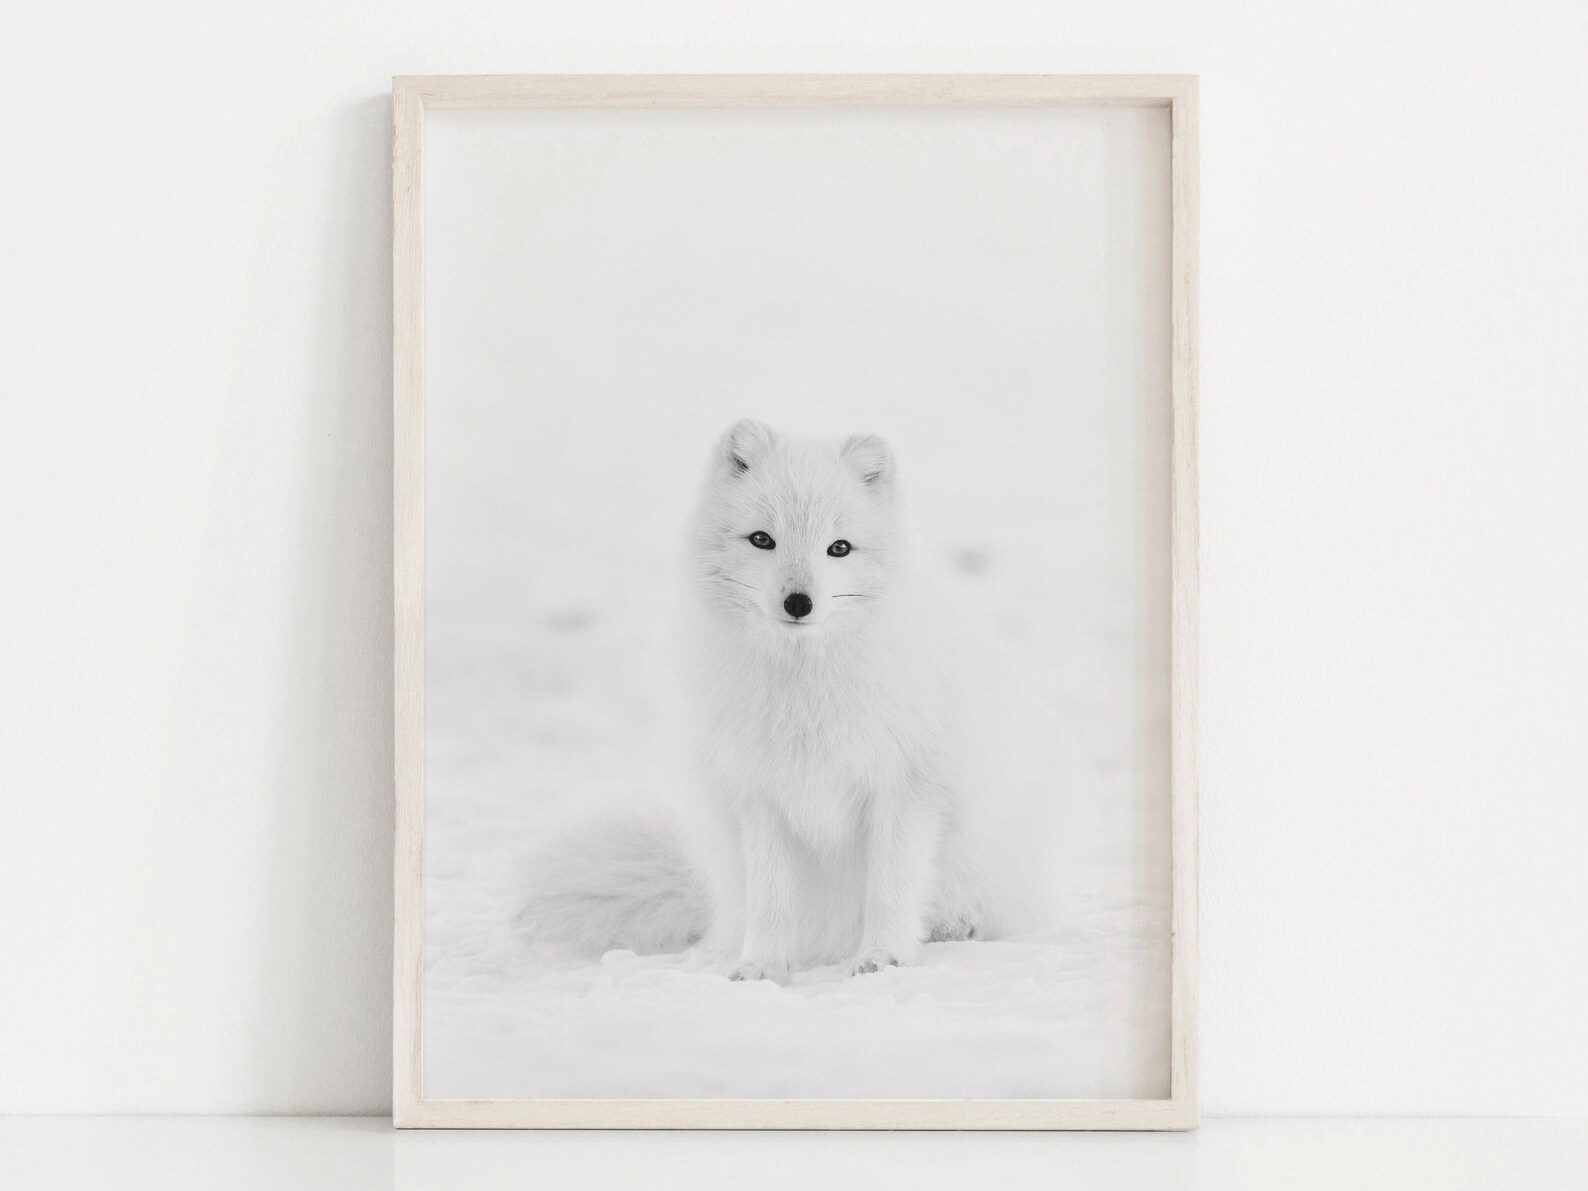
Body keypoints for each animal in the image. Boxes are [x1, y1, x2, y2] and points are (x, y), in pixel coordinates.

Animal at [516, 418, 1057, 980]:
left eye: (839, 548)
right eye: (762, 540)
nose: (799, 602)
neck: (804, 690)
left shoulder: (906, 789)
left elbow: (890, 888)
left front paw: (882, 958)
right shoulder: (761, 796)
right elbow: (772, 899)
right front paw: (763, 966)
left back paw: (957, 927)